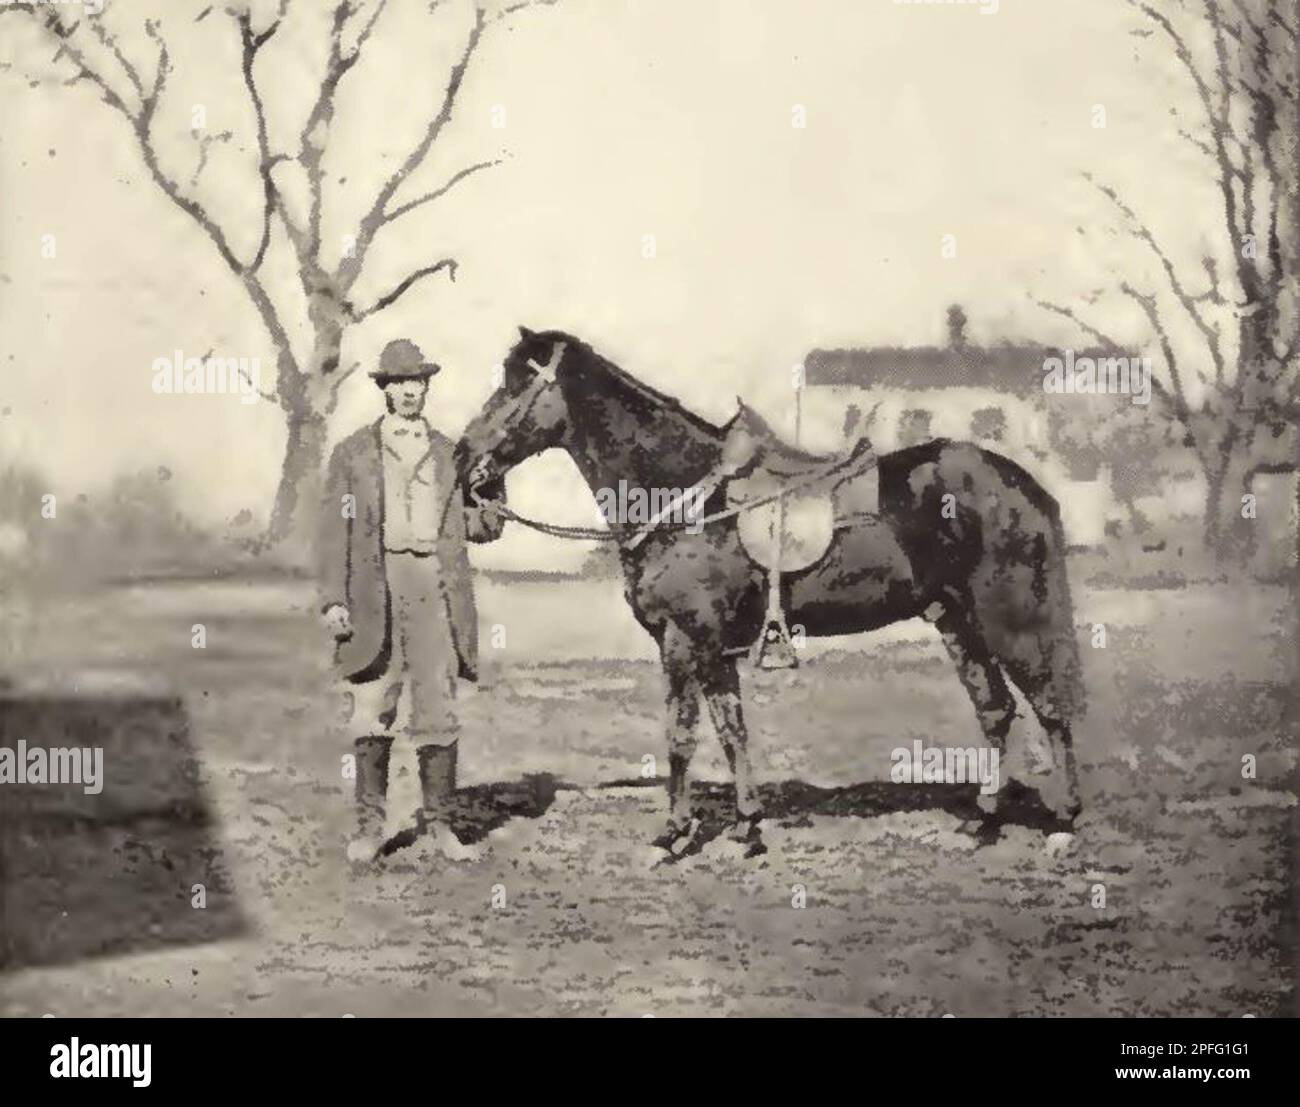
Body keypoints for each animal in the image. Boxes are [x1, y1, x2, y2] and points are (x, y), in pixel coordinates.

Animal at [455, 327, 1086, 857]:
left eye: (516, 385)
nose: (464, 457)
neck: (683, 498)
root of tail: (1020, 483)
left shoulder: (682, 641)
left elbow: (680, 737)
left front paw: (674, 834)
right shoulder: (714, 650)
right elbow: (731, 731)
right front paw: (747, 826)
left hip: (1010, 619)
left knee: (1050, 707)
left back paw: (1063, 823)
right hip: (956, 620)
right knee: (996, 710)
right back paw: (984, 822)